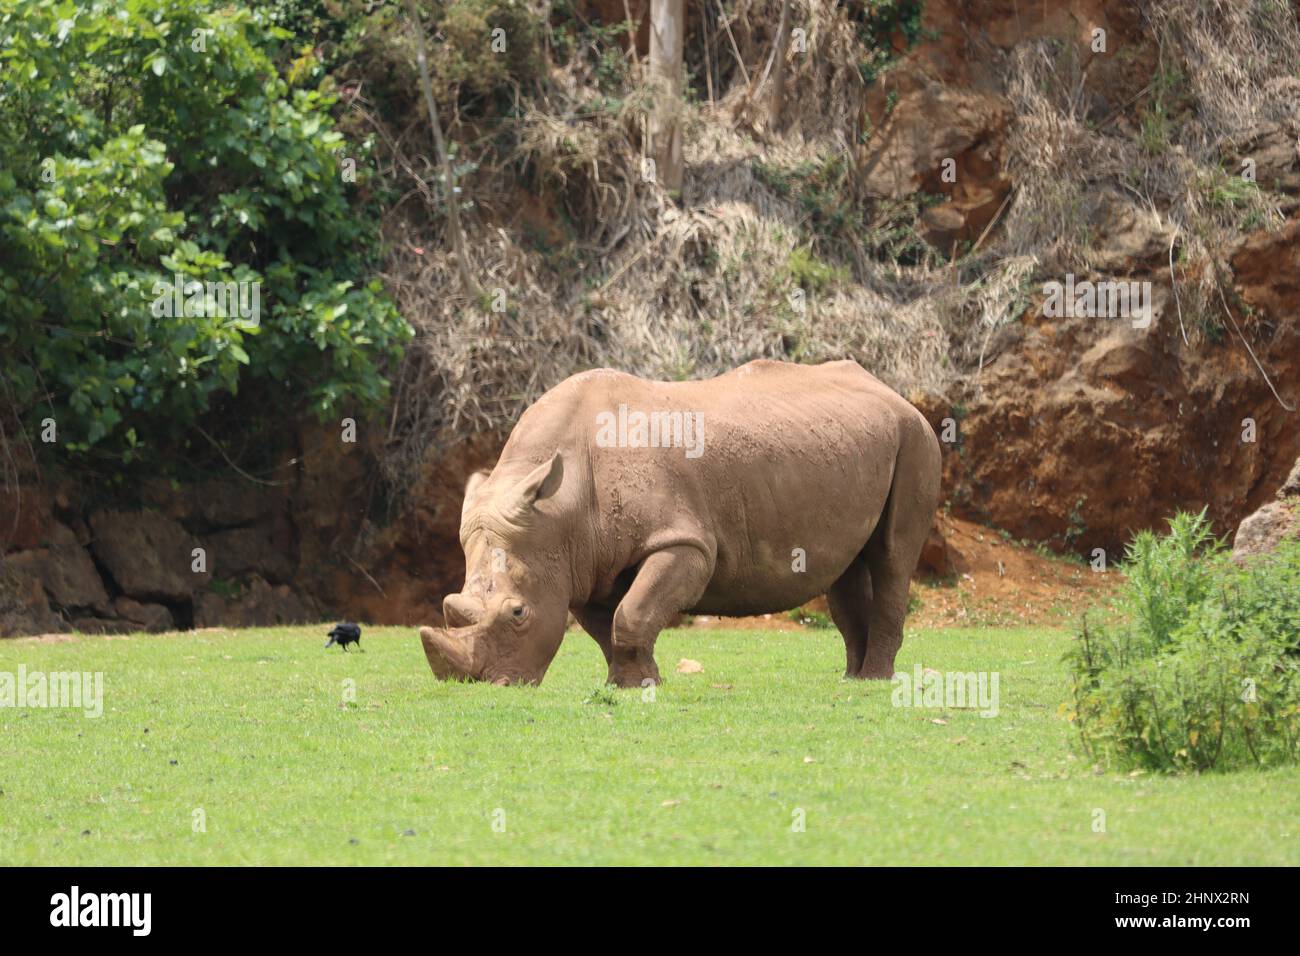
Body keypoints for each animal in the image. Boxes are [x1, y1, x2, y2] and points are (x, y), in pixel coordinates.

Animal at [420, 359, 942, 687]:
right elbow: (607, 624)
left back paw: (873, 680)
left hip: (915, 438)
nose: (485, 686)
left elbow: (632, 613)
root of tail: (894, 394)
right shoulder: (585, 561)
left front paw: (638, 686)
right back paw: (854, 680)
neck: (562, 510)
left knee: (893, 557)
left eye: (518, 614)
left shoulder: (683, 542)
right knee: (846, 568)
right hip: (860, 442)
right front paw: (631, 684)